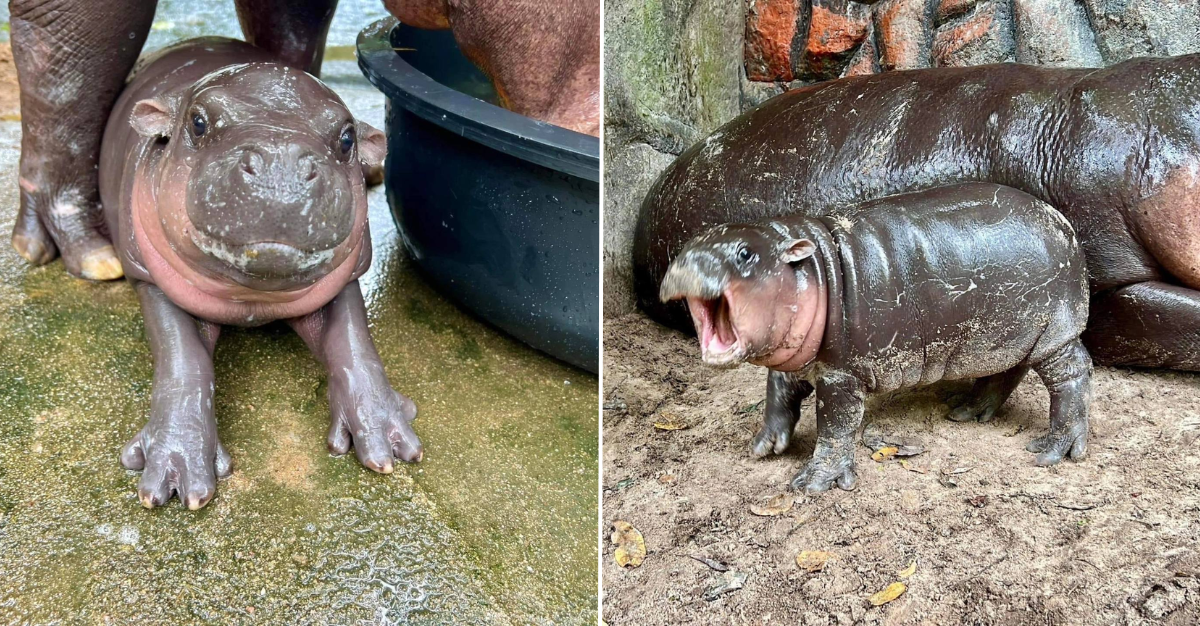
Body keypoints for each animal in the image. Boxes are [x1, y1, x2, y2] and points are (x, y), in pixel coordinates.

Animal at [99, 39, 420, 509]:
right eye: (197, 122)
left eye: (347, 138)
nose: (280, 164)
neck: (253, 299)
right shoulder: (151, 279)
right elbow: (183, 359)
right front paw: (175, 477)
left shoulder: (344, 277)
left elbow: (354, 341)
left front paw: (388, 441)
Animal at [660, 184, 1092, 492]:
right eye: (688, 245)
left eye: (745, 253)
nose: (686, 263)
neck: (816, 270)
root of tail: (1064, 223)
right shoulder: (795, 358)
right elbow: (778, 394)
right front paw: (765, 445)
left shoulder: (840, 374)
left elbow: (836, 424)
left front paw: (813, 483)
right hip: (1001, 337)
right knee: (1006, 371)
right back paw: (966, 410)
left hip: (1054, 333)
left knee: (1073, 374)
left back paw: (1053, 451)